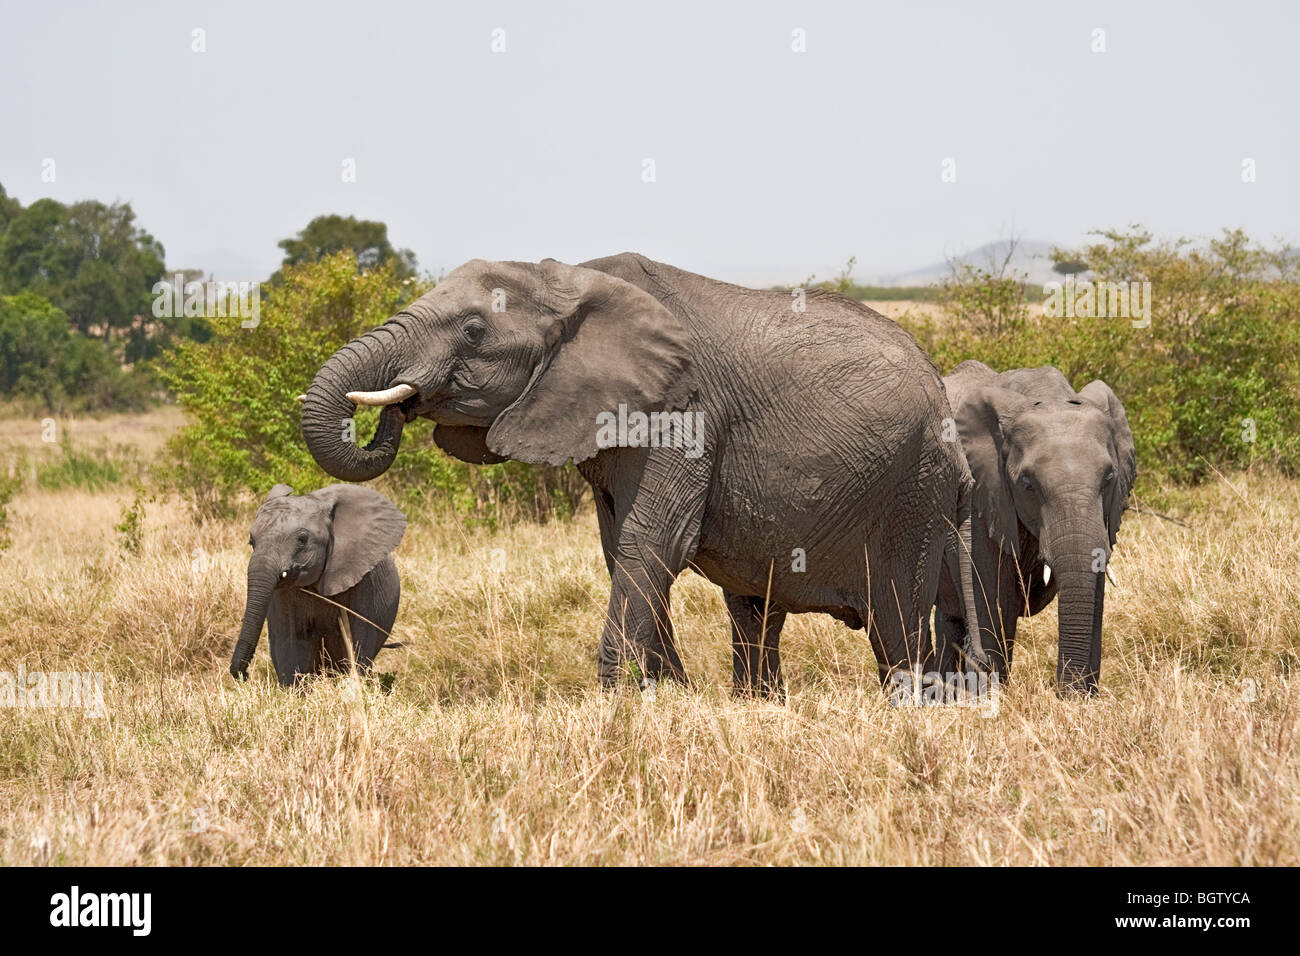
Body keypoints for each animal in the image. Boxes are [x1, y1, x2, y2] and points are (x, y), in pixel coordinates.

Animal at [228, 483, 406, 687]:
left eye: (302, 539)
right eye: (252, 541)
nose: (243, 674)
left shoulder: (364, 583)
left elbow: (358, 639)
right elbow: (289, 641)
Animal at [298, 252, 984, 697]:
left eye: (472, 329)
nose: (399, 406)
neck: (570, 278)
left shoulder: (683, 411)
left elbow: (652, 542)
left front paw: (619, 701)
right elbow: (619, 549)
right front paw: (667, 694)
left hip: (914, 494)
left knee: (896, 624)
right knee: (754, 612)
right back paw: (756, 702)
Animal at [934, 361, 1136, 695]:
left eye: (1108, 478)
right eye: (1027, 484)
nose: (1062, 692)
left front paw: (1083, 697)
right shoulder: (979, 494)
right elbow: (993, 595)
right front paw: (991, 695)